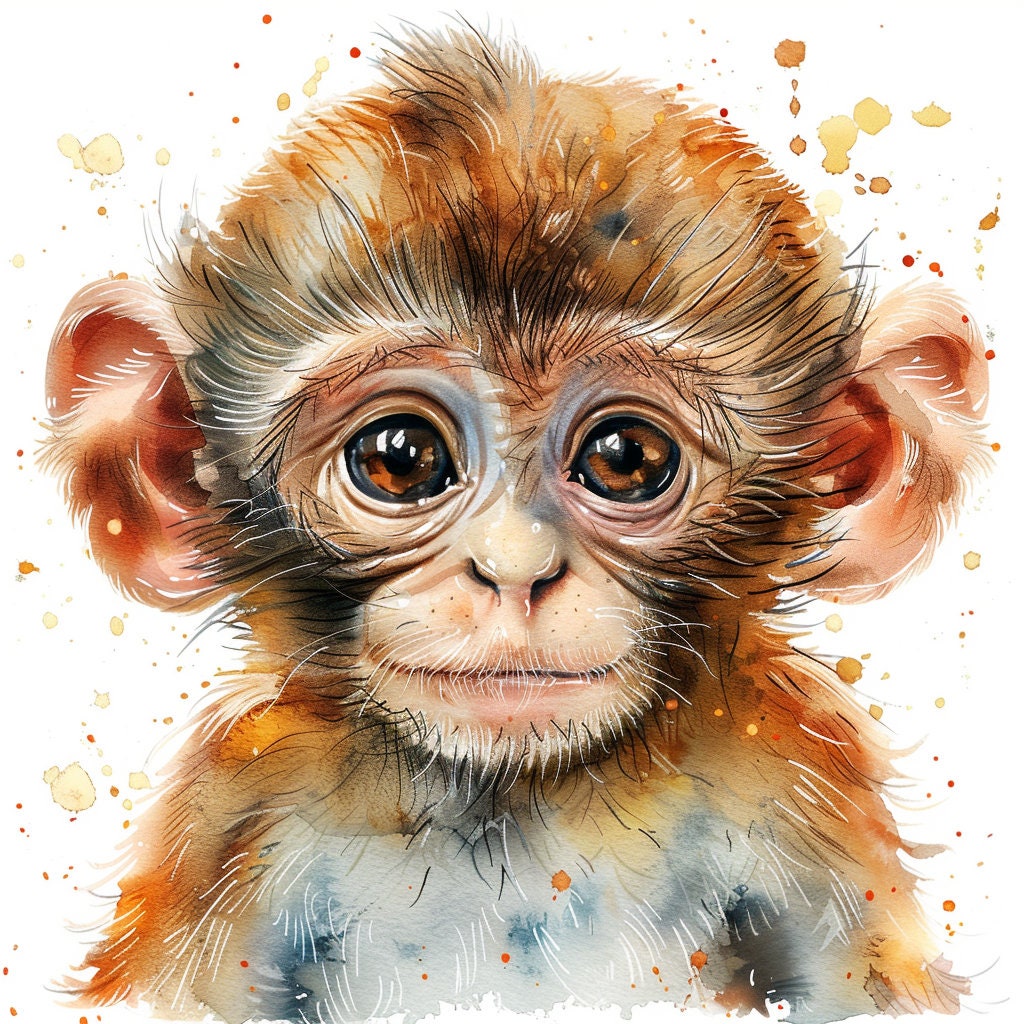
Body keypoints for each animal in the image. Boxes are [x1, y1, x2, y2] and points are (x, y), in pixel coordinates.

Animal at [43, 23, 989, 1024]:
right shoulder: (232, 820)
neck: (515, 816)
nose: (514, 571)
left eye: (625, 458)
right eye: (400, 457)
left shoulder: (805, 802)